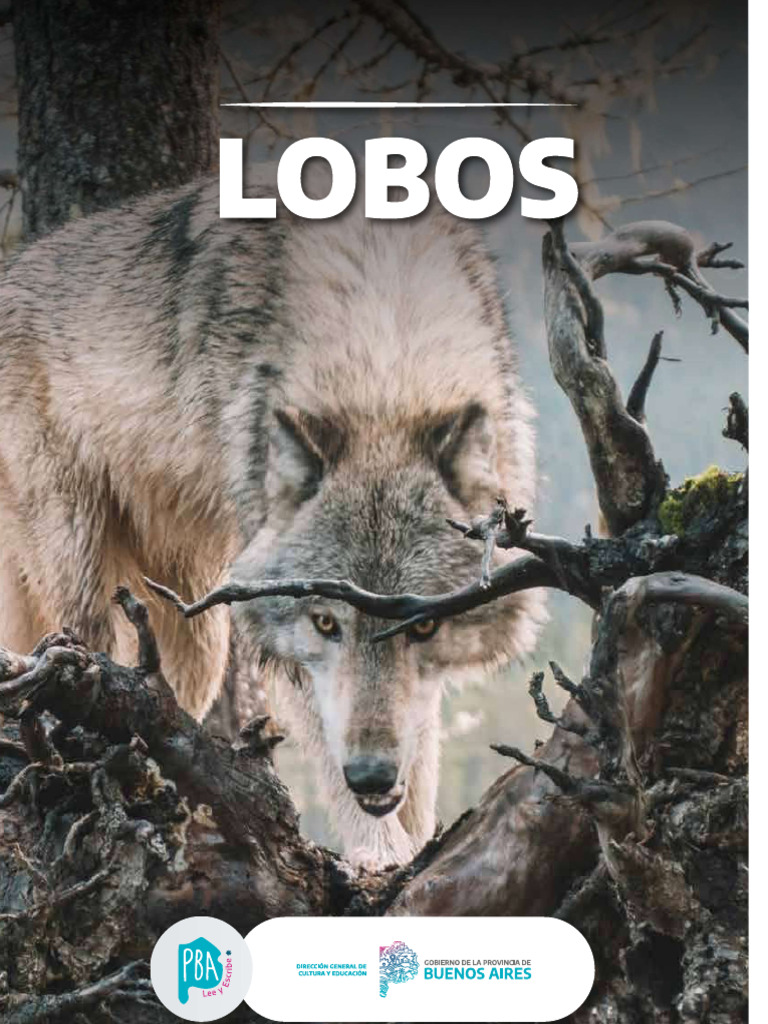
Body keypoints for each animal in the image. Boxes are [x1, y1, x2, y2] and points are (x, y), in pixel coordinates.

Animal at [0, 172, 542, 866]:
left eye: (421, 626)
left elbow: (420, 755)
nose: (372, 776)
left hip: (193, 627)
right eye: (325, 623)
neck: (384, 366)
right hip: (89, 583)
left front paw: (421, 843)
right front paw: (382, 858)